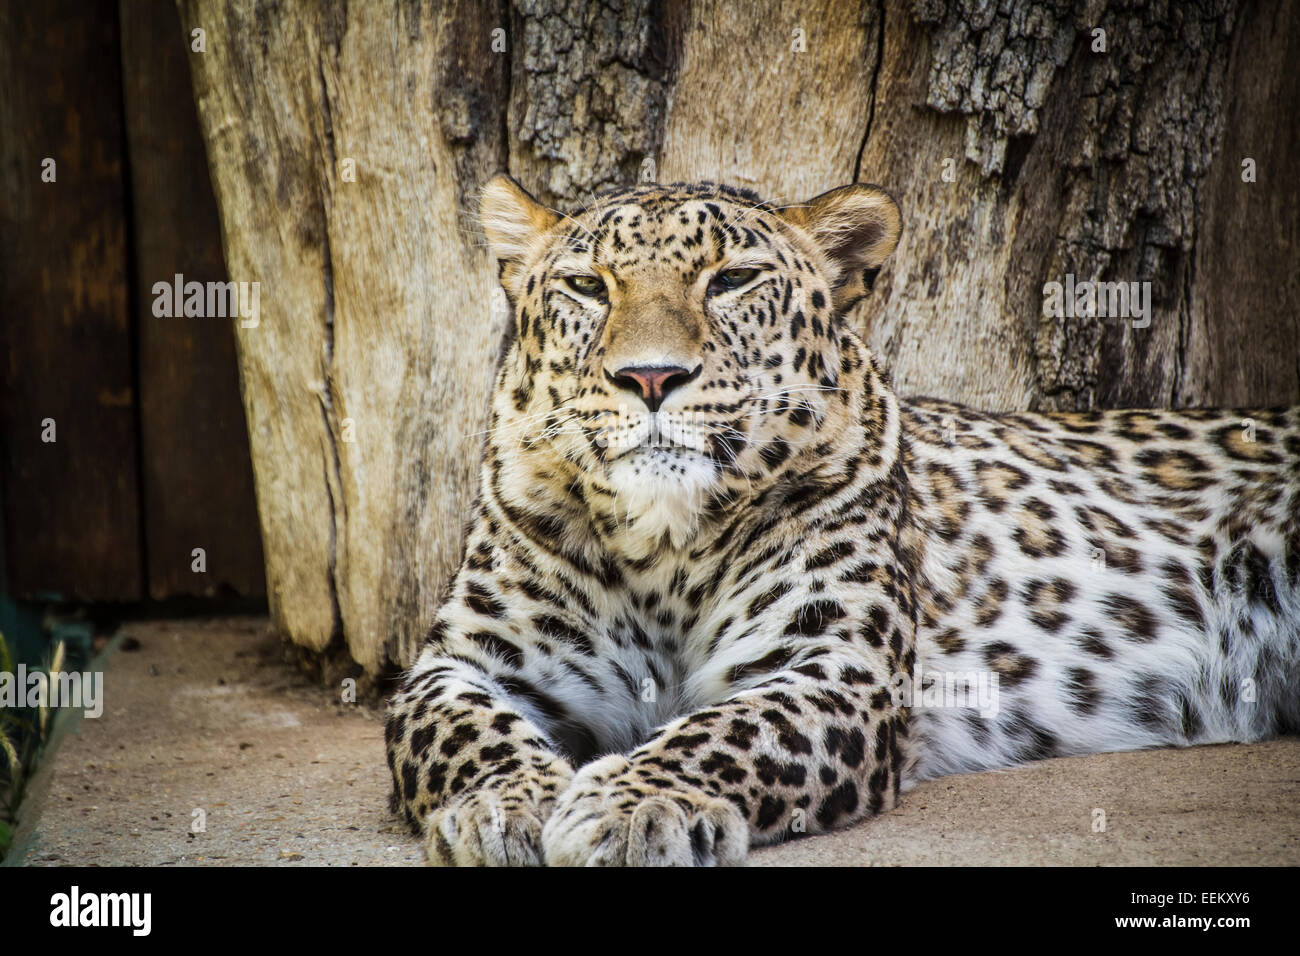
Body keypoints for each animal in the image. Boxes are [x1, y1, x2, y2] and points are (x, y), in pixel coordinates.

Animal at [384, 173, 1300, 866]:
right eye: (587, 286)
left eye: (731, 281)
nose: (650, 379)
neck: (664, 547)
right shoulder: (469, 662)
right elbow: (458, 730)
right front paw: (509, 803)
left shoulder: (834, 666)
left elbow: (725, 730)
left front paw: (630, 807)